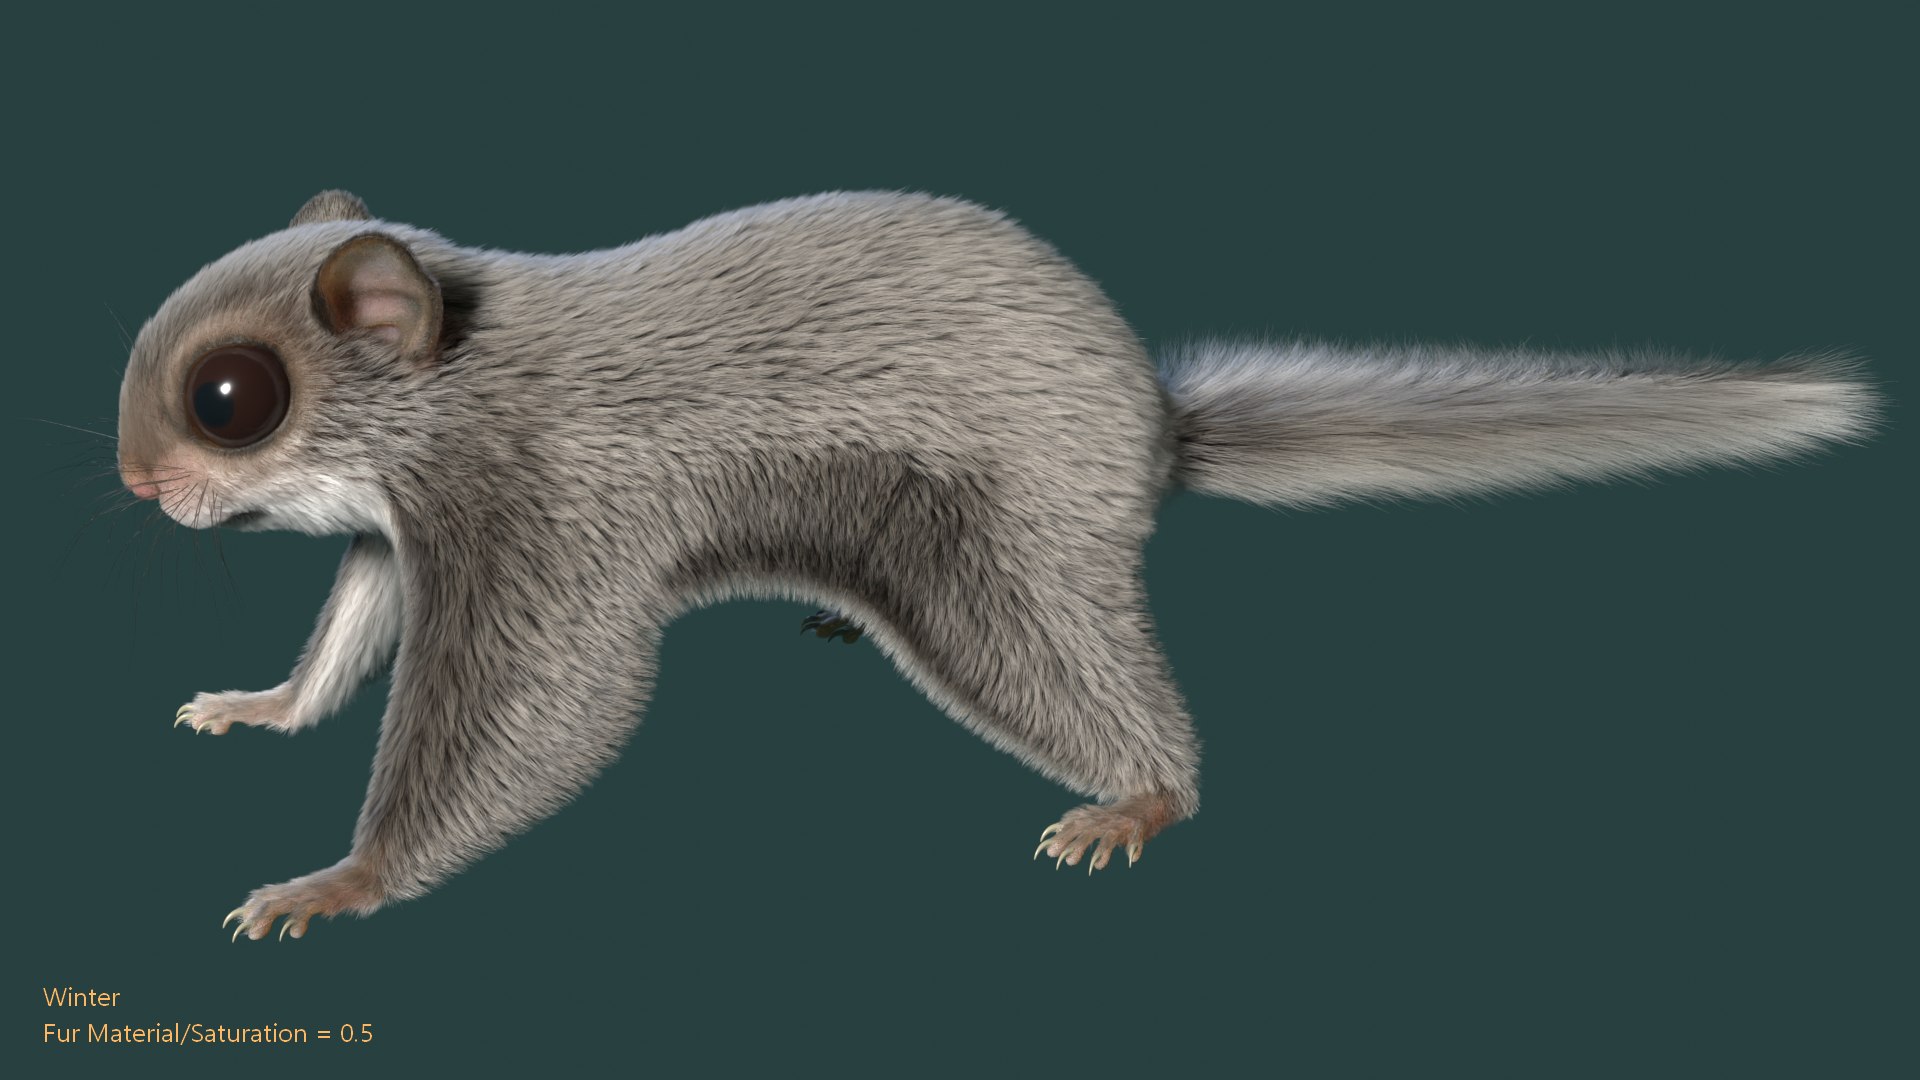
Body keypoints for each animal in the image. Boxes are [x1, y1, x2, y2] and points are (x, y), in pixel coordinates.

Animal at [117, 189, 1880, 940]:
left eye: (233, 396)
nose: (132, 480)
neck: (466, 381)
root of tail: (1152, 428)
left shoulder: (551, 521)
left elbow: (530, 712)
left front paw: (332, 884)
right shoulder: (398, 535)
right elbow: (342, 642)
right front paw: (259, 710)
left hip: (991, 558)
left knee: (1097, 687)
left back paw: (1134, 801)